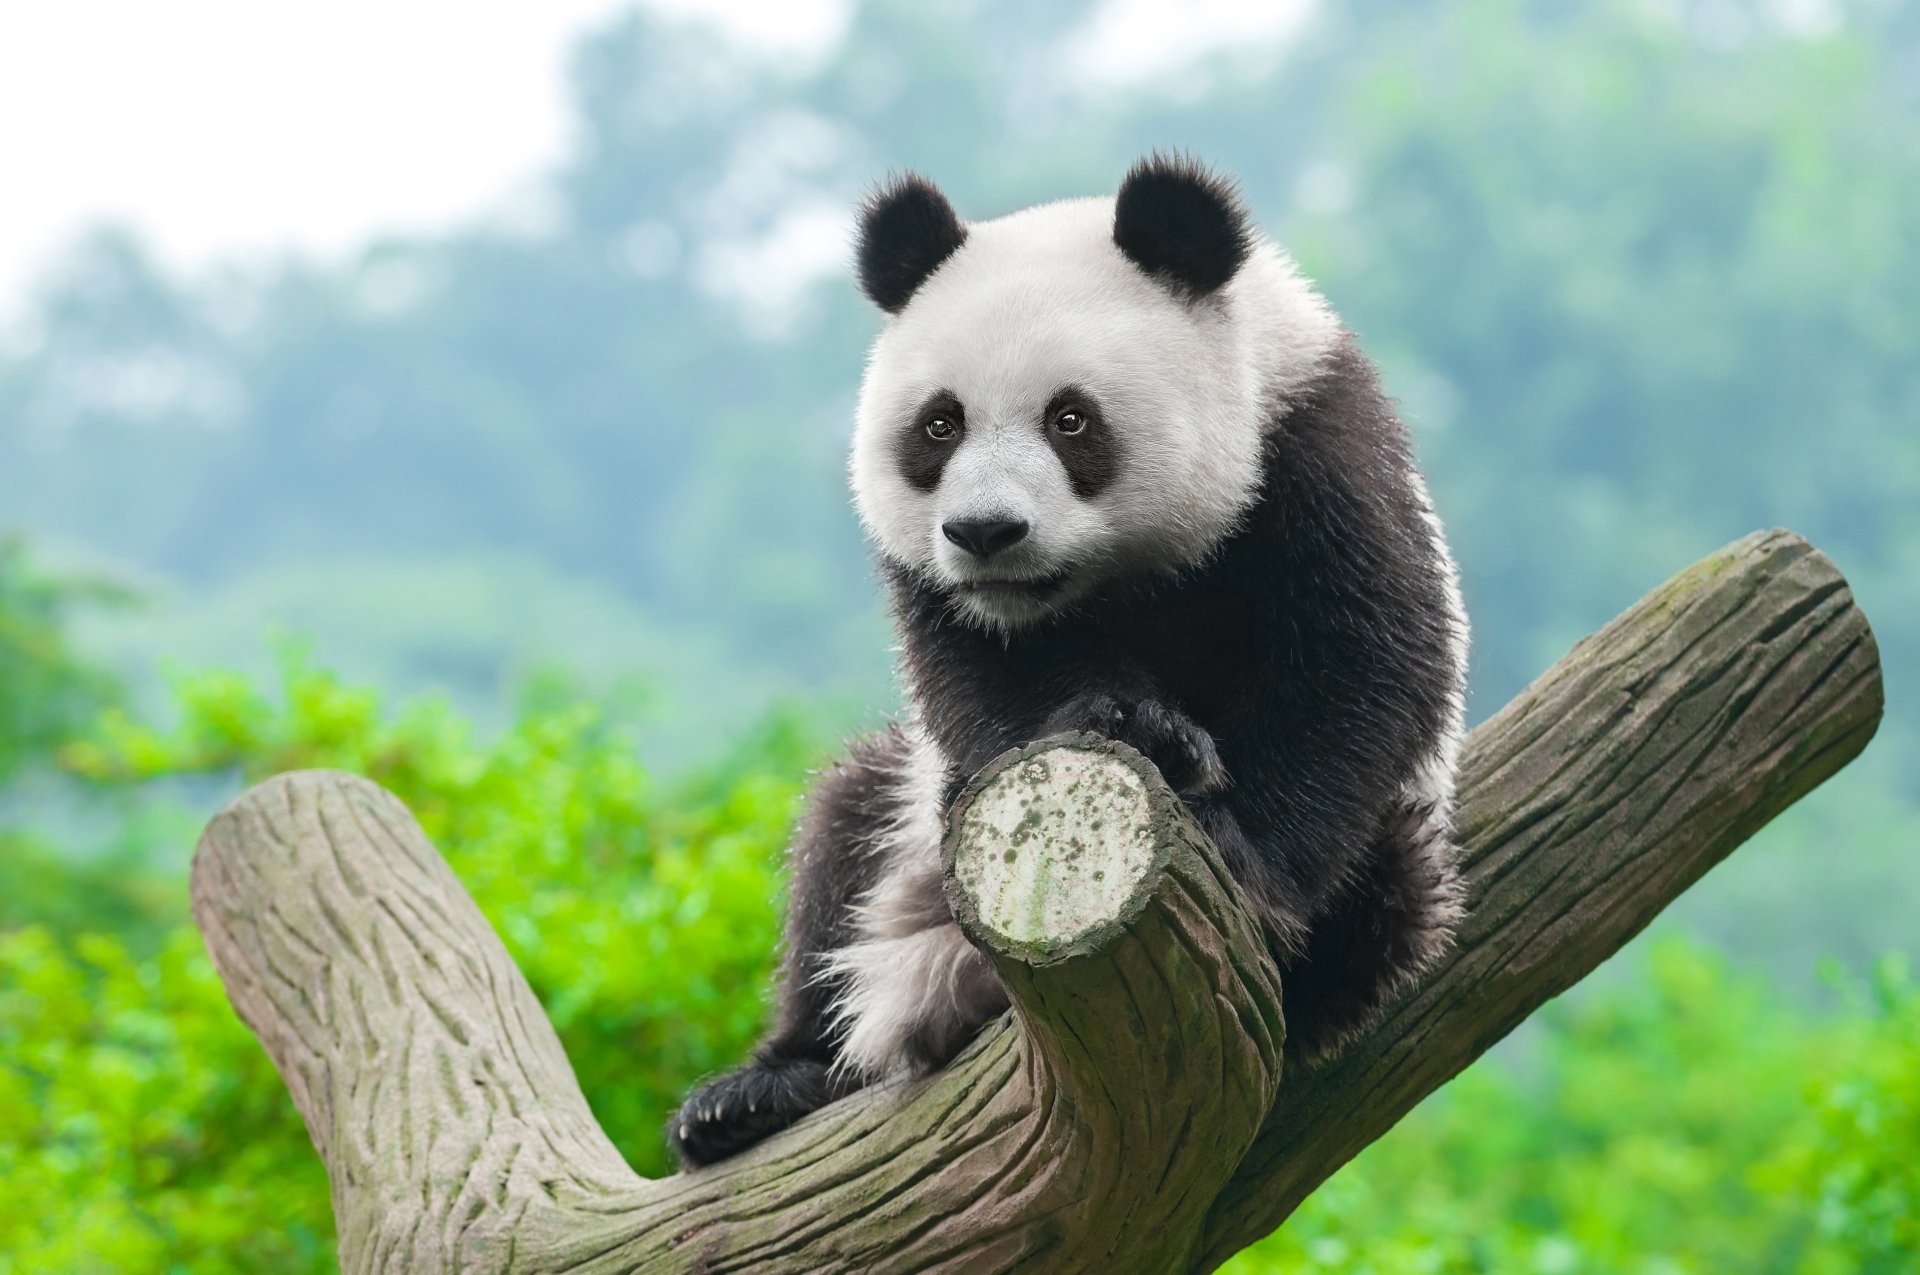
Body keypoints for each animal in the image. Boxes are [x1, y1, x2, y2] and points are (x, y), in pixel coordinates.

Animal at [670, 154, 1469, 1169]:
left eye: (1071, 419)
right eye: (940, 426)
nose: (985, 531)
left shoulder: (1315, 450)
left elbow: (1360, 669)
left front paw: (1236, 846)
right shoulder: (950, 601)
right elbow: (987, 682)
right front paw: (1134, 723)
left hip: (1401, 852)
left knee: (1391, 894)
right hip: (903, 840)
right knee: (840, 841)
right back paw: (755, 1093)